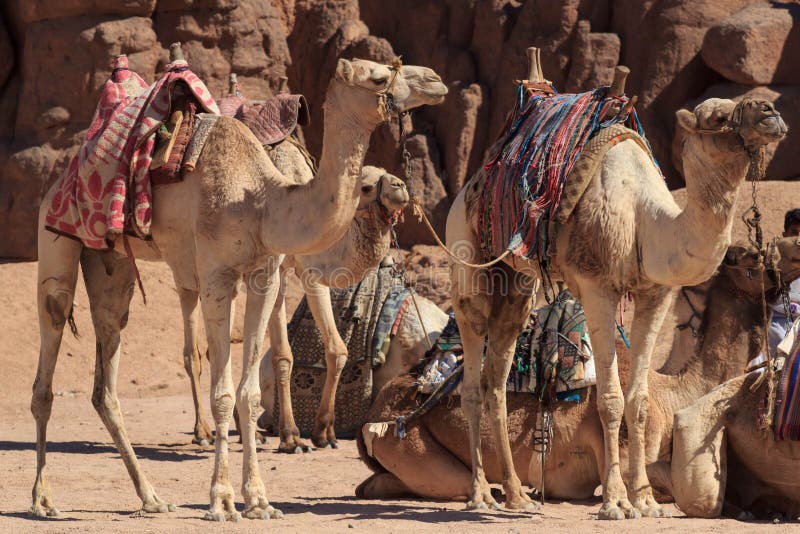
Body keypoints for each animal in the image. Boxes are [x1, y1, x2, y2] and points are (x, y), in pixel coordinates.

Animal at [31, 58, 447, 520]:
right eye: (379, 76)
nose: (436, 80)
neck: (262, 200)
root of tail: (65, 172)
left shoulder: (265, 275)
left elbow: (248, 393)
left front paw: (260, 500)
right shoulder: (217, 277)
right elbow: (224, 393)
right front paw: (222, 500)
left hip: (112, 262)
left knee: (106, 375)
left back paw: (151, 498)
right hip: (56, 240)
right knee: (47, 359)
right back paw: (42, 500)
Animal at [356, 238, 800, 510]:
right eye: (754, 259)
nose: (786, 270)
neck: (671, 392)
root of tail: (372, 417)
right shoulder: (621, 454)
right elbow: (656, 487)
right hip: (412, 445)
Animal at [445, 83, 787, 518]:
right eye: (718, 117)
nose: (771, 112)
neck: (646, 221)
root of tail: (468, 187)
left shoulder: (656, 295)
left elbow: (638, 401)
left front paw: (646, 501)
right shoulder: (597, 288)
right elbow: (610, 398)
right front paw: (615, 502)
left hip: (517, 287)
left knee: (498, 379)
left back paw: (515, 493)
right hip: (466, 260)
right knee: (472, 371)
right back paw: (479, 494)